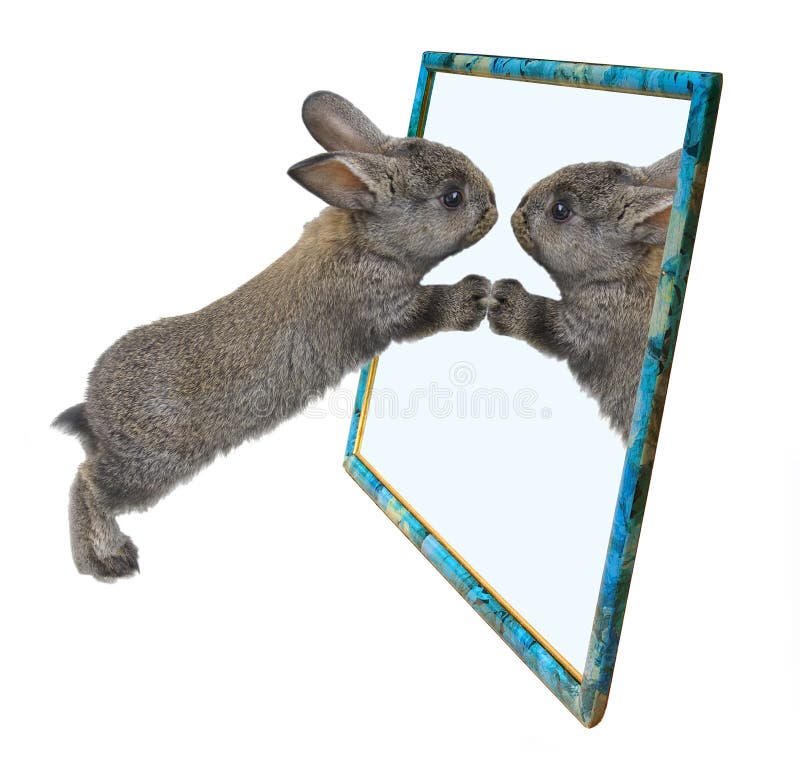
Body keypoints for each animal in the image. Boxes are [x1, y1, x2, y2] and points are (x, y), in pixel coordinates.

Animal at [53, 90, 498, 581]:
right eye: (452, 198)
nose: (495, 205)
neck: (367, 237)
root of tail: (93, 410)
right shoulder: (386, 308)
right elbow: (430, 309)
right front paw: (475, 295)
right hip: (150, 466)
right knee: (85, 484)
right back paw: (105, 559)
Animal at [487, 150, 681, 440]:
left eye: (560, 210)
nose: (518, 210)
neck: (622, 270)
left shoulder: (590, 326)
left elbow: (547, 324)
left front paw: (503, 300)